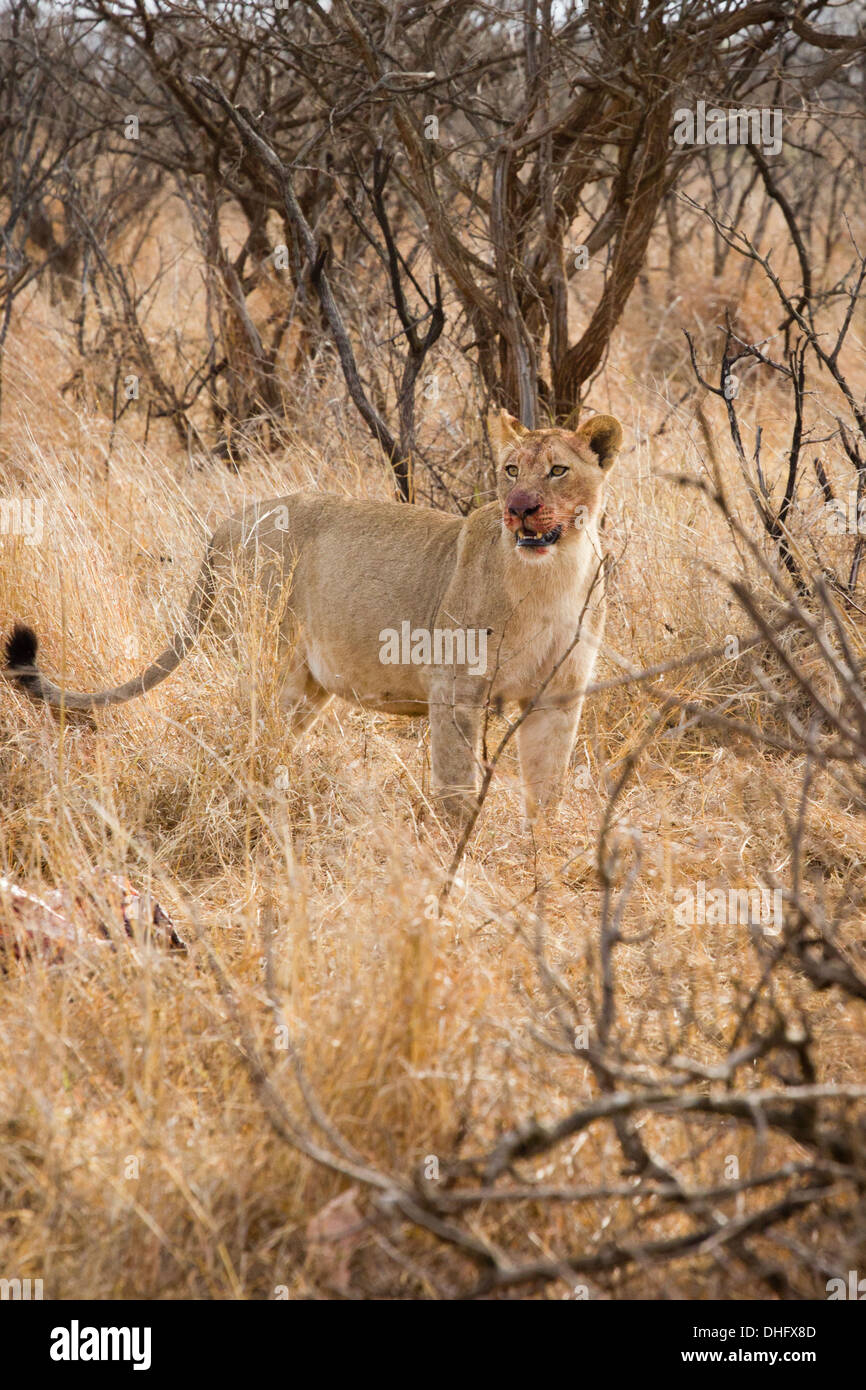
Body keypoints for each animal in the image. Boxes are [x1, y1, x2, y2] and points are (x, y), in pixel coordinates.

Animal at [5, 410, 622, 829]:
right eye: (511, 469)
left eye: (558, 471)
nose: (519, 508)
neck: (549, 579)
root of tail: (228, 523)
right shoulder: (455, 690)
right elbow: (455, 790)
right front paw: (456, 865)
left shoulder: (559, 699)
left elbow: (547, 789)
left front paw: (538, 862)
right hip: (265, 661)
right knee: (246, 740)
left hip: (306, 685)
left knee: (276, 745)